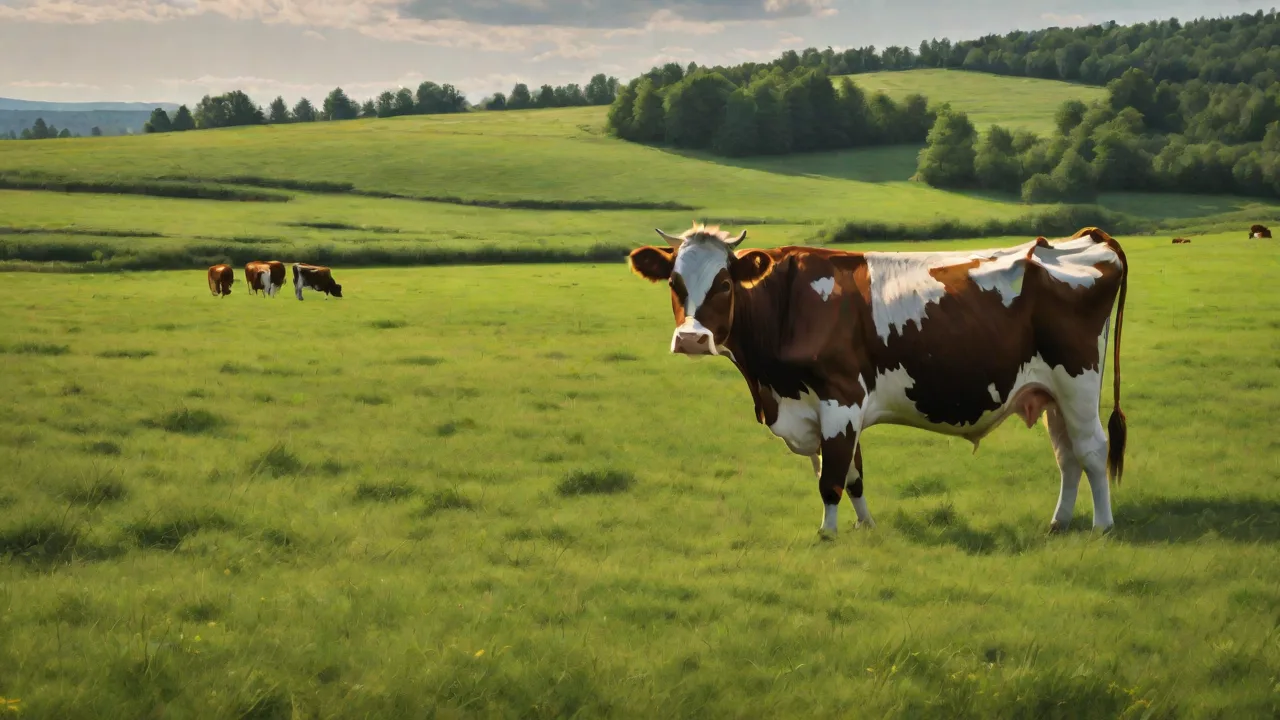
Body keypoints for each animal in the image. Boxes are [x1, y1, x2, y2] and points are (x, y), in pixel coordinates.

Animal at [628, 224, 1129, 537]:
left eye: (725, 284)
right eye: (674, 283)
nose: (691, 339)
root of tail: (1081, 240)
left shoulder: (840, 397)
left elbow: (831, 477)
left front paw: (827, 533)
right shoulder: (822, 408)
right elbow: (853, 475)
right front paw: (864, 526)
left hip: (1078, 380)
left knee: (1092, 449)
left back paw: (1102, 526)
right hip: (1051, 393)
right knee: (1067, 456)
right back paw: (1058, 523)